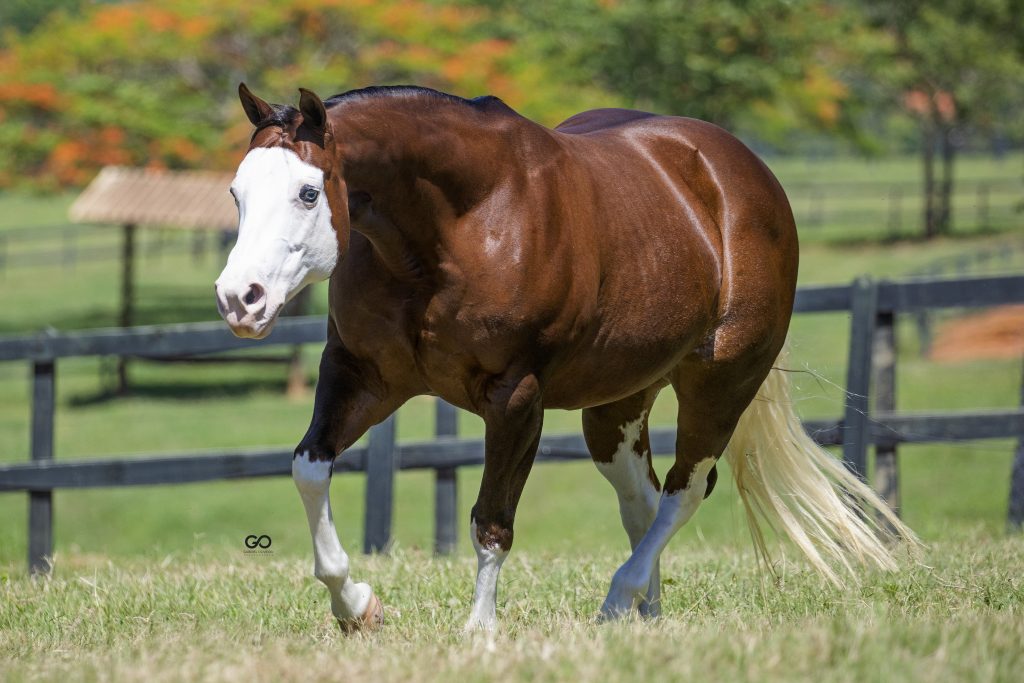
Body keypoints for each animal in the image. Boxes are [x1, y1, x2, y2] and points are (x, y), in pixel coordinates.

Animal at [215, 83, 915, 632]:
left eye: (309, 192)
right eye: (236, 192)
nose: (239, 299)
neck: (460, 227)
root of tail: (742, 173)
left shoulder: (516, 399)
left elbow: (491, 521)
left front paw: (479, 632)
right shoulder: (363, 375)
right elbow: (309, 469)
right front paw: (357, 607)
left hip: (720, 382)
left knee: (686, 489)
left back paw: (616, 603)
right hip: (617, 406)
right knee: (643, 499)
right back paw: (644, 615)